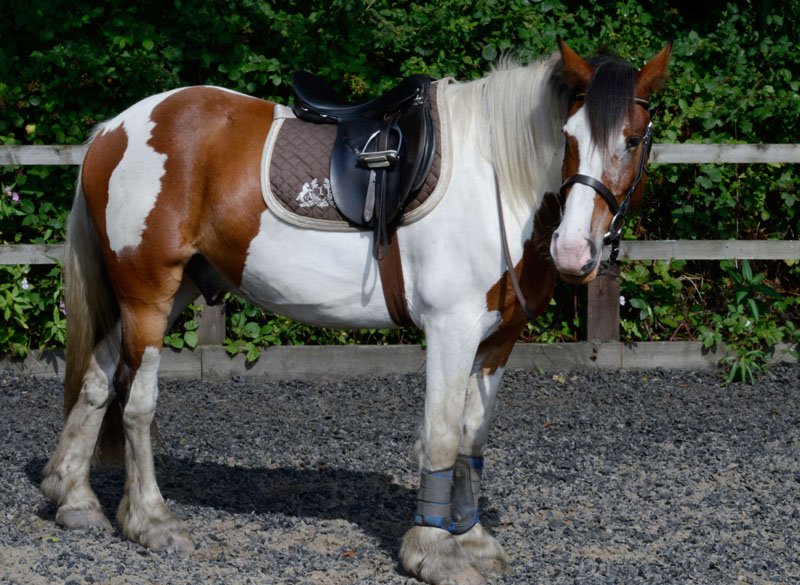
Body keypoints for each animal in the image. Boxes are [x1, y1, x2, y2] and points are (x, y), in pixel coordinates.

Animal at [41, 40, 670, 585]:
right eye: (568, 136)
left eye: (635, 139)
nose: (573, 251)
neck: (497, 176)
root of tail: (113, 130)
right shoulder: (451, 329)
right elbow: (442, 436)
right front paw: (433, 552)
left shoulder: (497, 340)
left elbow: (472, 440)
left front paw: (470, 539)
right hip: (149, 295)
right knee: (136, 405)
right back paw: (151, 521)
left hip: (164, 297)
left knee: (96, 380)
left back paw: (74, 500)